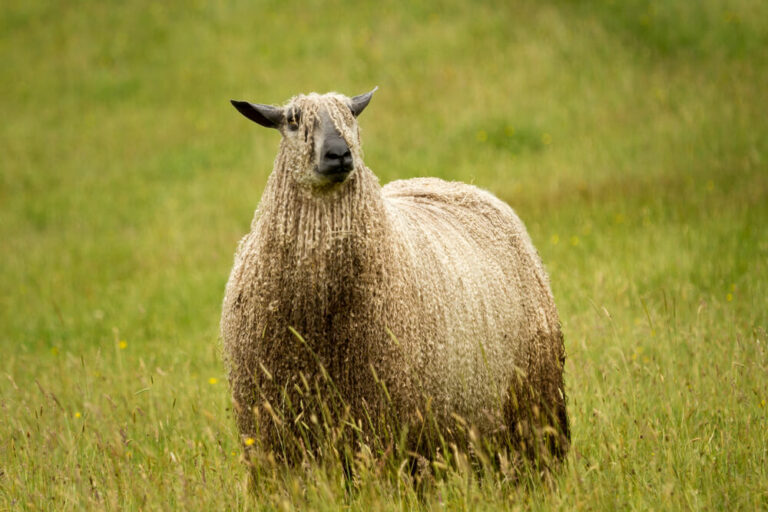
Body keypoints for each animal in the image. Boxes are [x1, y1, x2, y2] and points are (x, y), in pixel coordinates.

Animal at [220, 89, 569, 468]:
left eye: (351, 117)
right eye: (294, 121)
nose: (339, 154)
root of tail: (459, 186)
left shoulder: (384, 424)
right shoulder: (273, 433)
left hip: (533, 402)